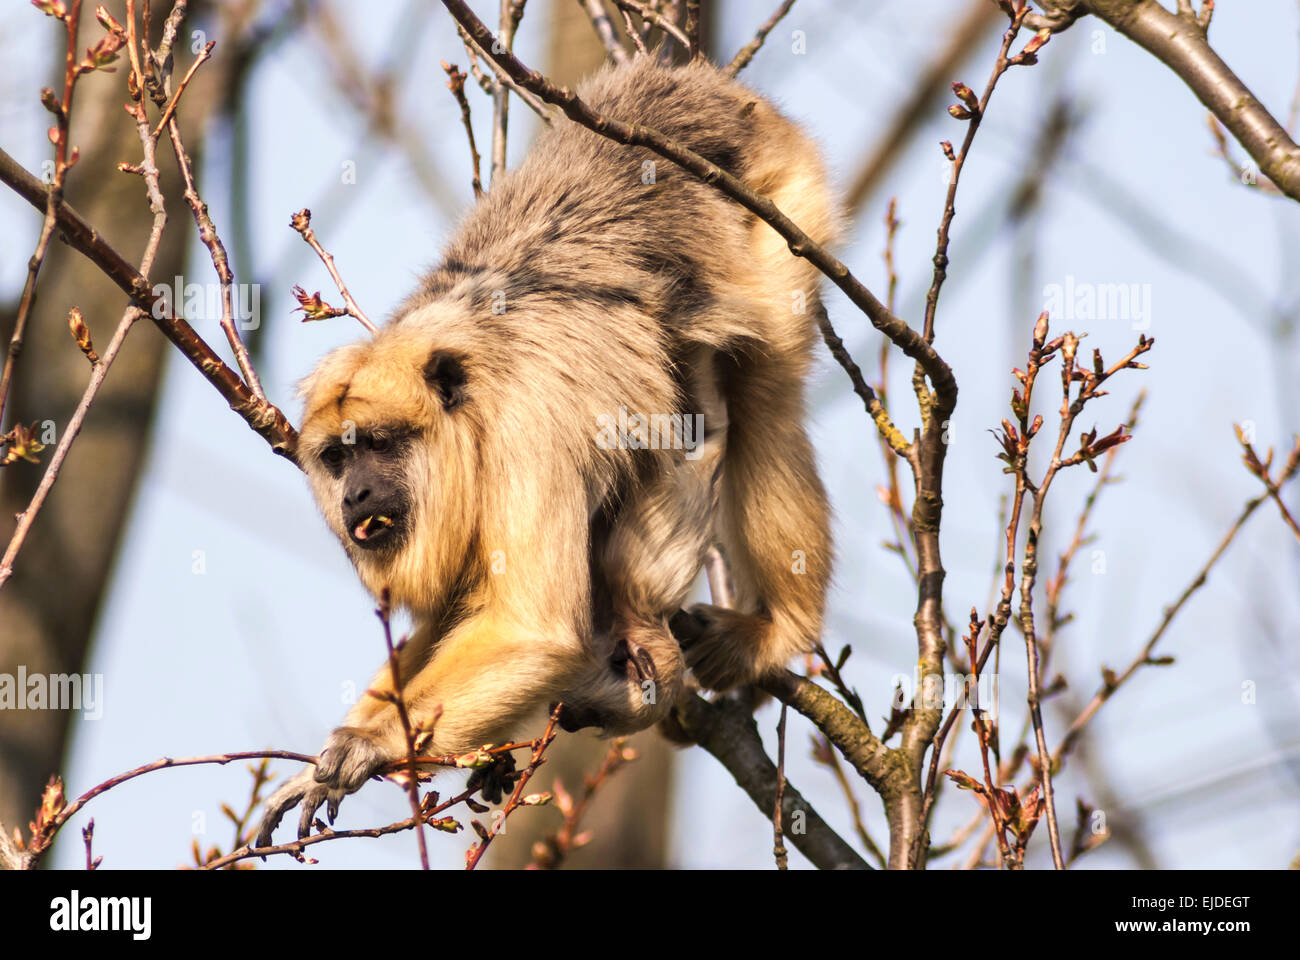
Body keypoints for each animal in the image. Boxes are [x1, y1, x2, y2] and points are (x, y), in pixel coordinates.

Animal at [255, 55, 836, 847]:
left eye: (380, 444)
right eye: (338, 458)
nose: (357, 495)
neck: (467, 410)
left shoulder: (528, 430)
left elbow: (531, 631)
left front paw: (365, 746)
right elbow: (456, 615)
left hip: (785, 202)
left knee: (768, 395)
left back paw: (773, 630)